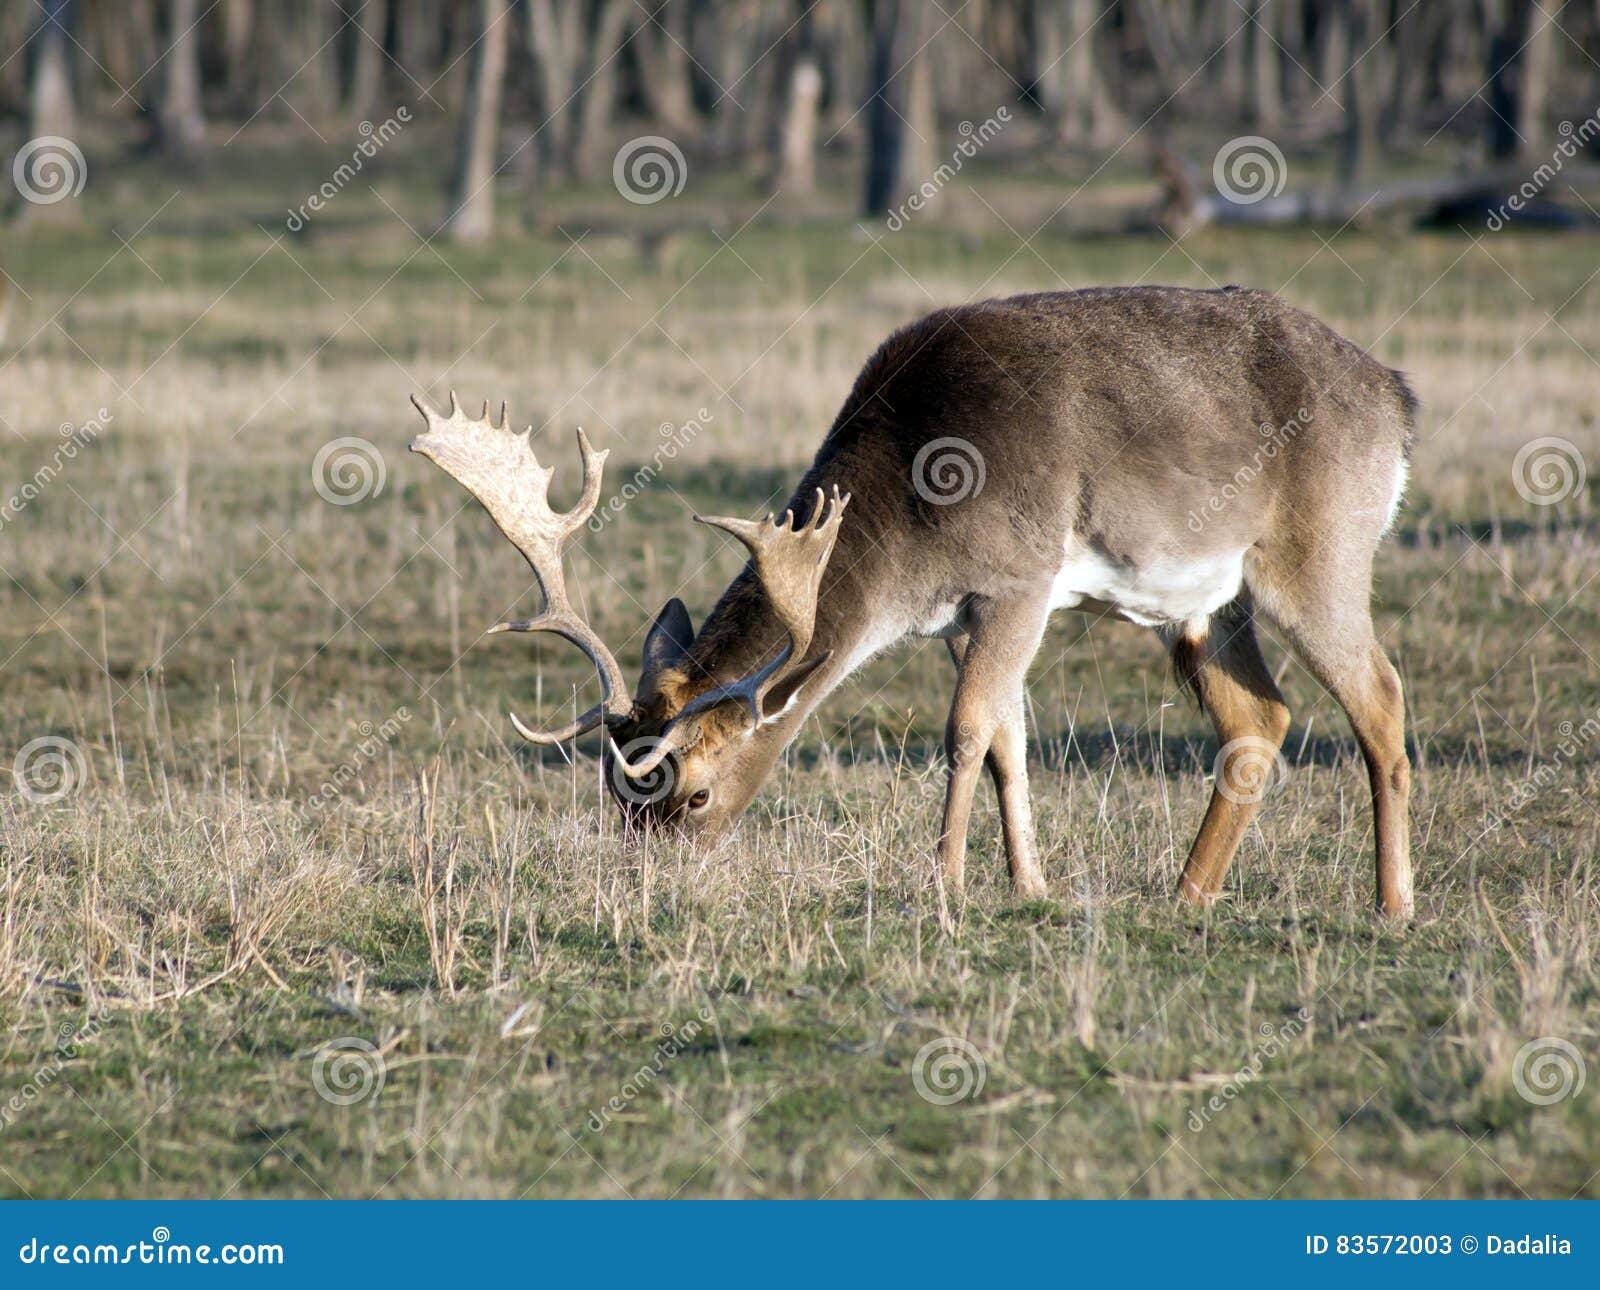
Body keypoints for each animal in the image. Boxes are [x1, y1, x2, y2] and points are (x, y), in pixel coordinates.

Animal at [411, 285, 1416, 919]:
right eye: (614, 792)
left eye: (693, 795)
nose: (645, 880)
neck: (913, 508)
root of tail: (1396, 398)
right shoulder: (960, 615)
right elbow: (1009, 738)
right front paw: (1030, 887)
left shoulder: (1021, 577)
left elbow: (967, 728)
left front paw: (946, 882)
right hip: (1205, 603)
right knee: (1261, 718)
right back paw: (1187, 894)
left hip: (1321, 550)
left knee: (1380, 698)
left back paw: (1392, 903)